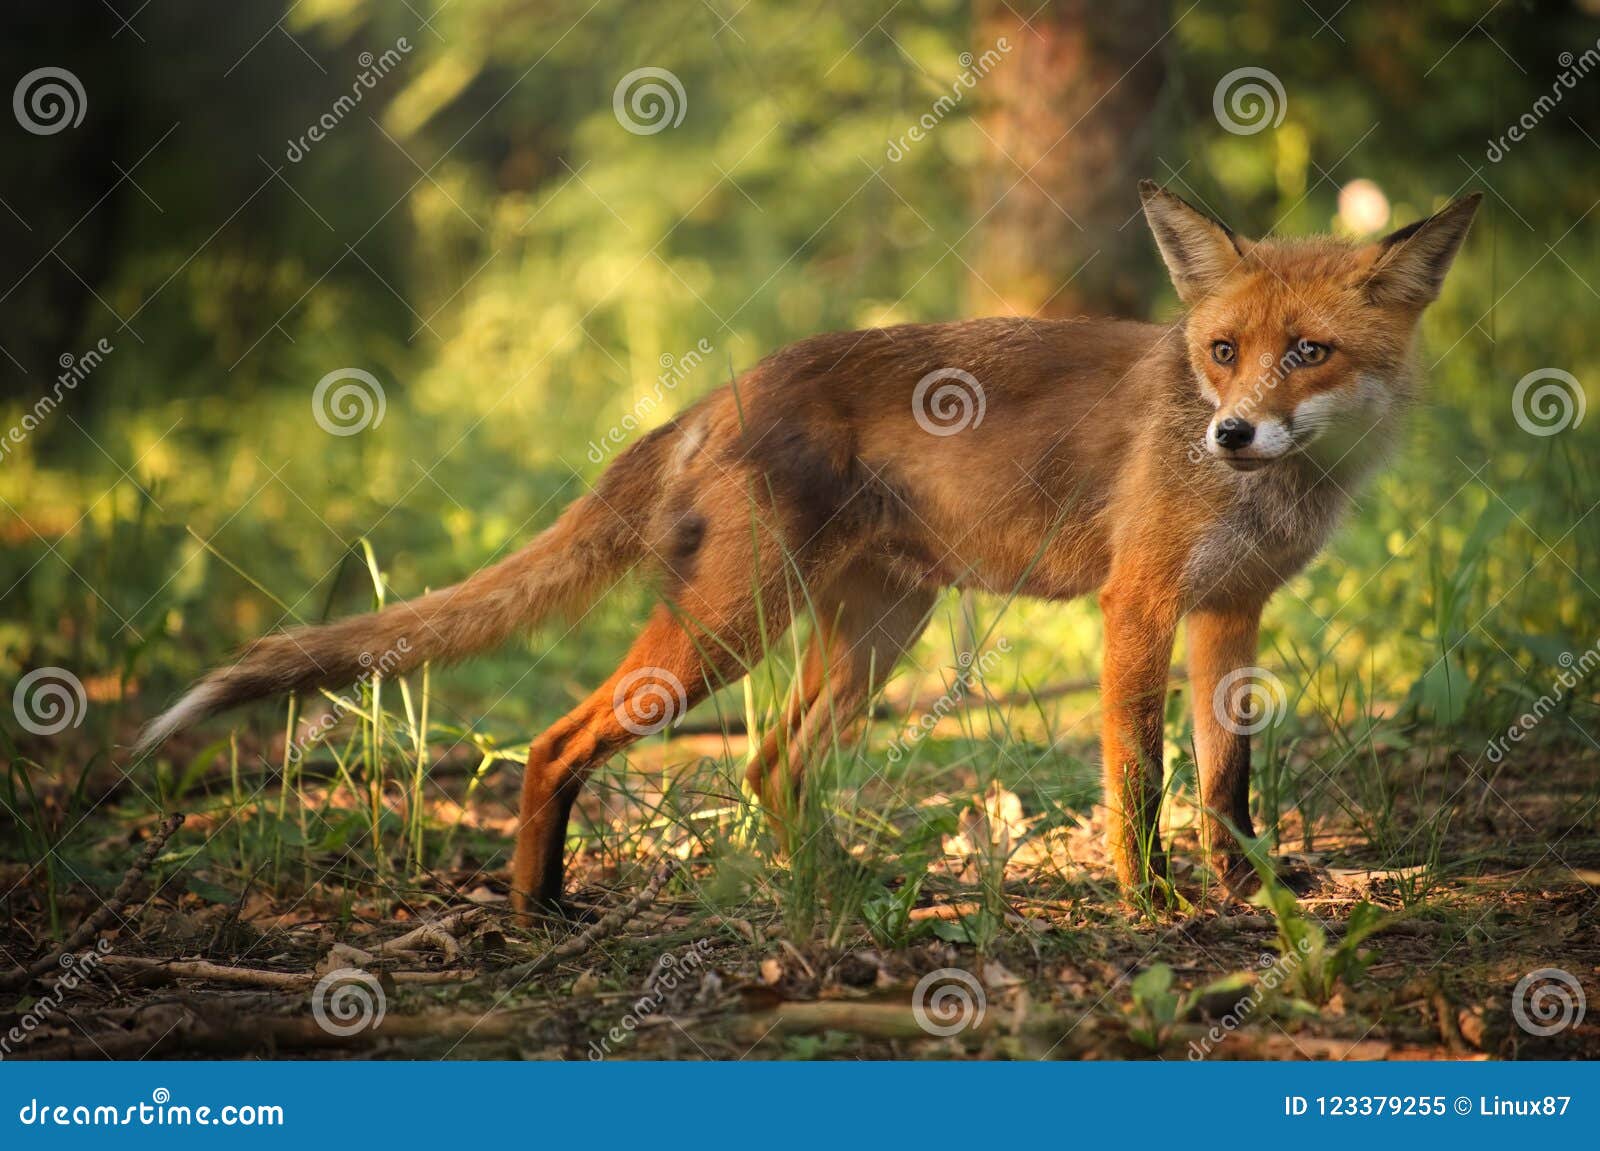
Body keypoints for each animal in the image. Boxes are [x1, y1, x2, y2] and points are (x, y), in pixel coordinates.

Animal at [137, 180, 1481, 914]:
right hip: (730, 633)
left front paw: (1247, 893)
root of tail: (716, 390)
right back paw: (536, 903)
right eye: (1220, 351)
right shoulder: (1139, 607)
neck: (1271, 499)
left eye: (1307, 352)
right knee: (559, 741)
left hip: (871, 636)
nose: (1230, 430)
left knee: (768, 766)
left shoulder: (1231, 614)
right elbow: (1139, 783)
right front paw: (1147, 903)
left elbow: (1225, 784)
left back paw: (832, 891)